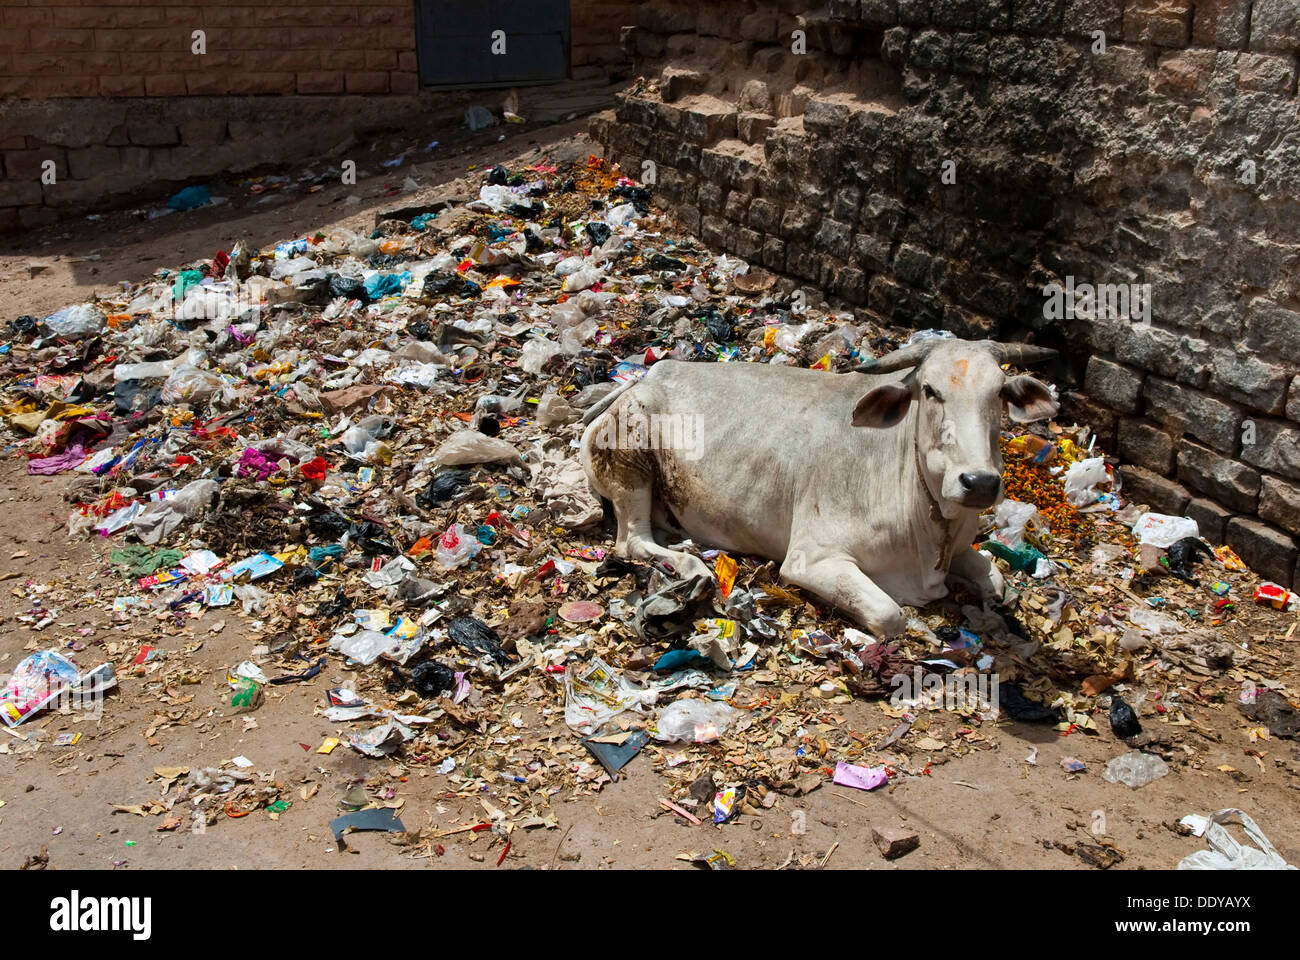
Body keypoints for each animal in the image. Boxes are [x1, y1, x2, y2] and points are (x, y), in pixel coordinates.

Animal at [579, 337, 1058, 638]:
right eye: (930, 390)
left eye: (1000, 393)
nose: (979, 483)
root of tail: (648, 377)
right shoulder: (811, 559)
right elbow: (891, 617)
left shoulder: (958, 549)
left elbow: (996, 580)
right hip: (630, 466)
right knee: (632, 542)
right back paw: (693, 569)